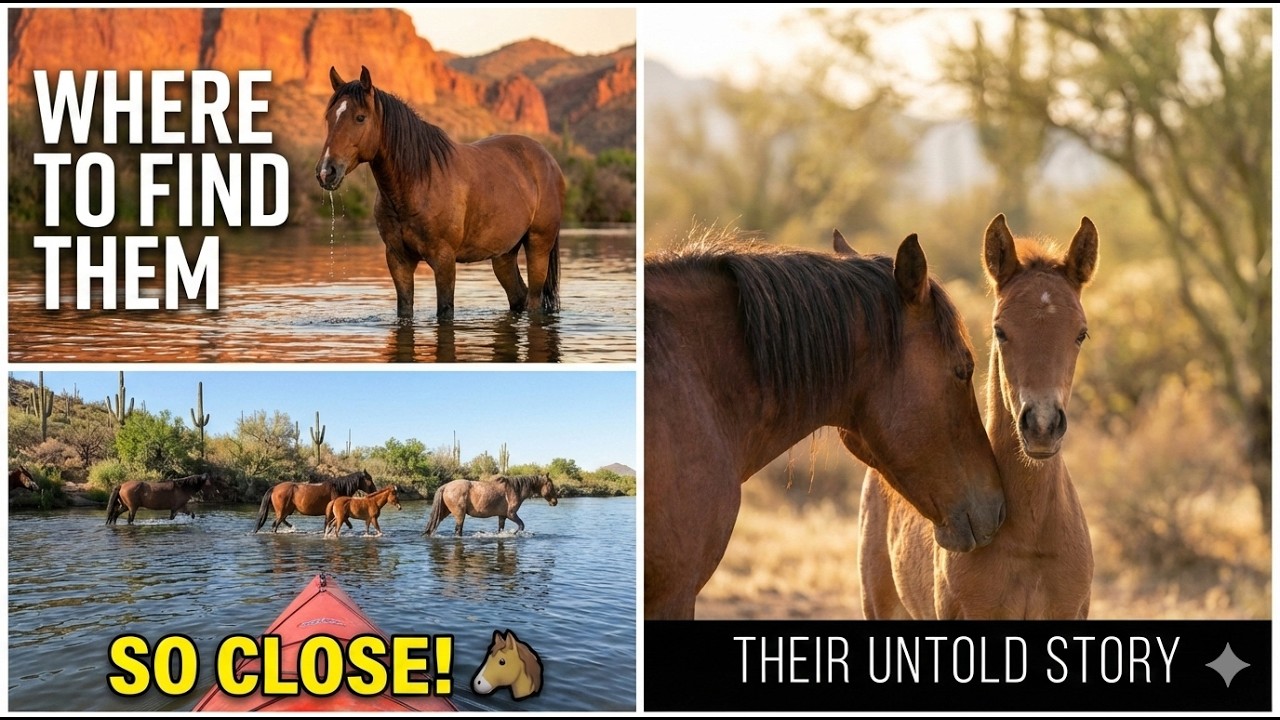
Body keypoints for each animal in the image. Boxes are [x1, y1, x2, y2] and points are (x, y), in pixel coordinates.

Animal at [316, 66, 566, 321]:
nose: (327, 171)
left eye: (360, 117)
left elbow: (445, 311)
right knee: (519, 297)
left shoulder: (444, 260)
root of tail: (548, 159)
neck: (417, 185)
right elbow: (405, 309)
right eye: (329, 117)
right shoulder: (398, 260)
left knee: (534, 300)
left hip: (538, 246)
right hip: (504, 255)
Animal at [423, 474, 558, 536]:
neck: (514, 490)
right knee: (458, 531)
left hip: (443, 512)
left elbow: (501, 529)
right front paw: (513, 534)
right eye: (550, 485)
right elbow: (521, 525)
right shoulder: (511, 514)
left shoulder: (502, 516)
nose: (555, 502)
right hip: (459, 515)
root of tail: (445, 486)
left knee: (434, 525)